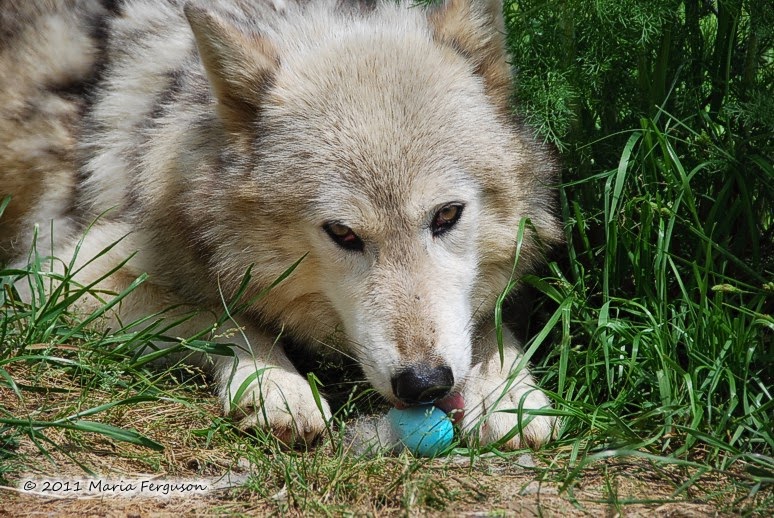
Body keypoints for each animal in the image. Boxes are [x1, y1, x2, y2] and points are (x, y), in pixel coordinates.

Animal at [0, 0, 562, 449]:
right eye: (343, 233)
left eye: (446, 216)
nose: (425, 383)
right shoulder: (58, 280)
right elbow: (227, 317)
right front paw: (279, 386)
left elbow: (492, 328)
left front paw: (509, 393)